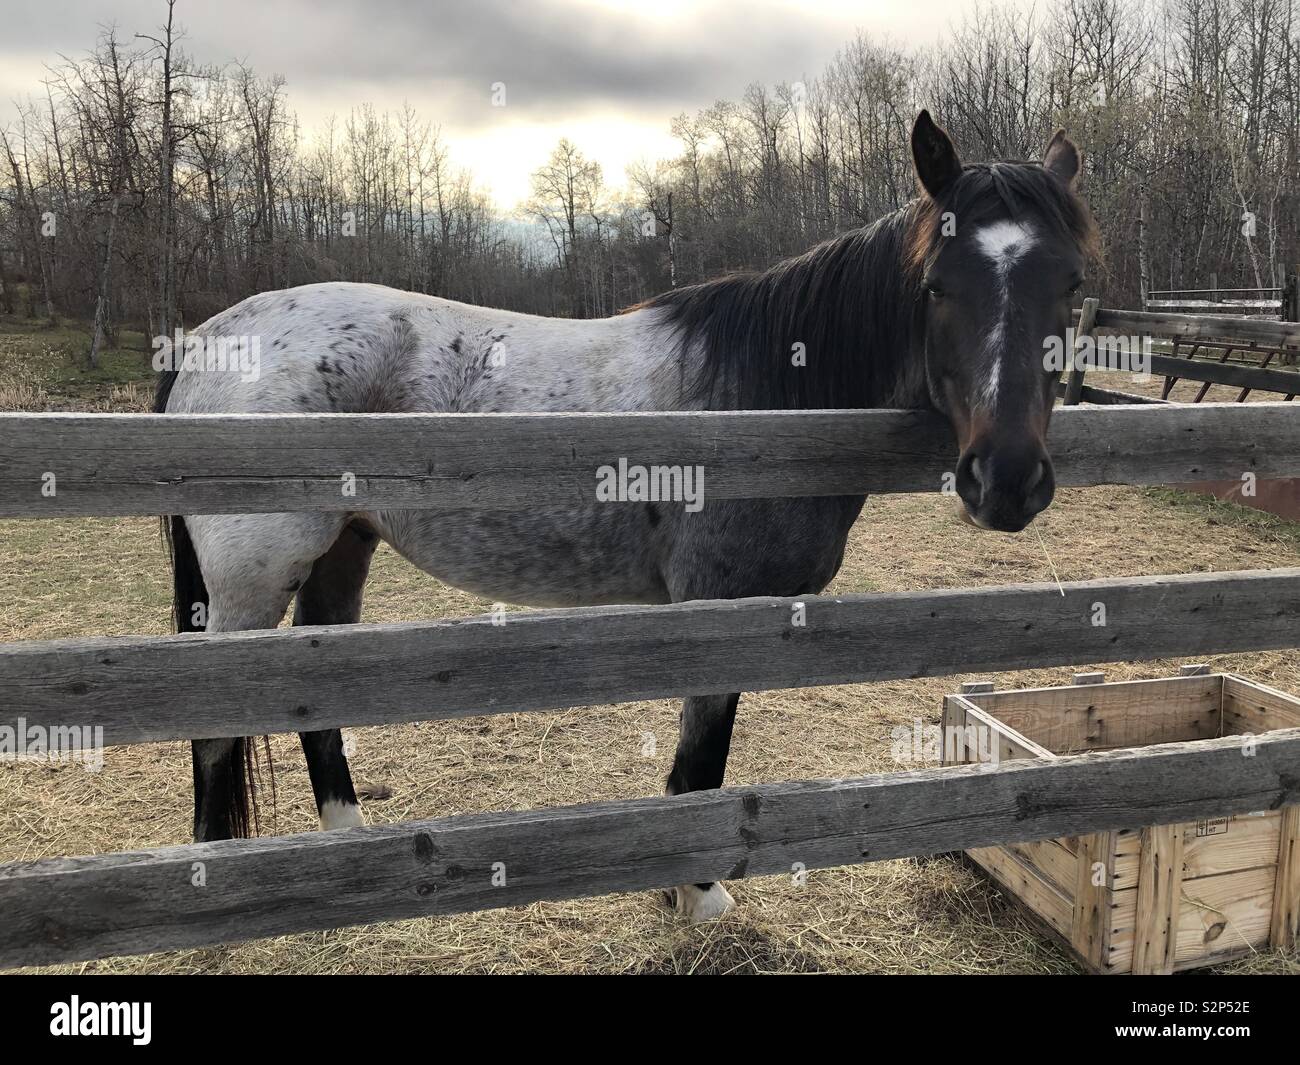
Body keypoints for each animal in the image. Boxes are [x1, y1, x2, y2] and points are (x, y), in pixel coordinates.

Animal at [156, 110, 1097, 923]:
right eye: (938, 285)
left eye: (1073, 283)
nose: (1007, 479)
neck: (765, 401)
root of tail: (209, 339)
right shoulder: (720, 610)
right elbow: (703, 759)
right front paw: (700, 895)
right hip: (251, 583)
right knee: (211, 728)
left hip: (341, 551)